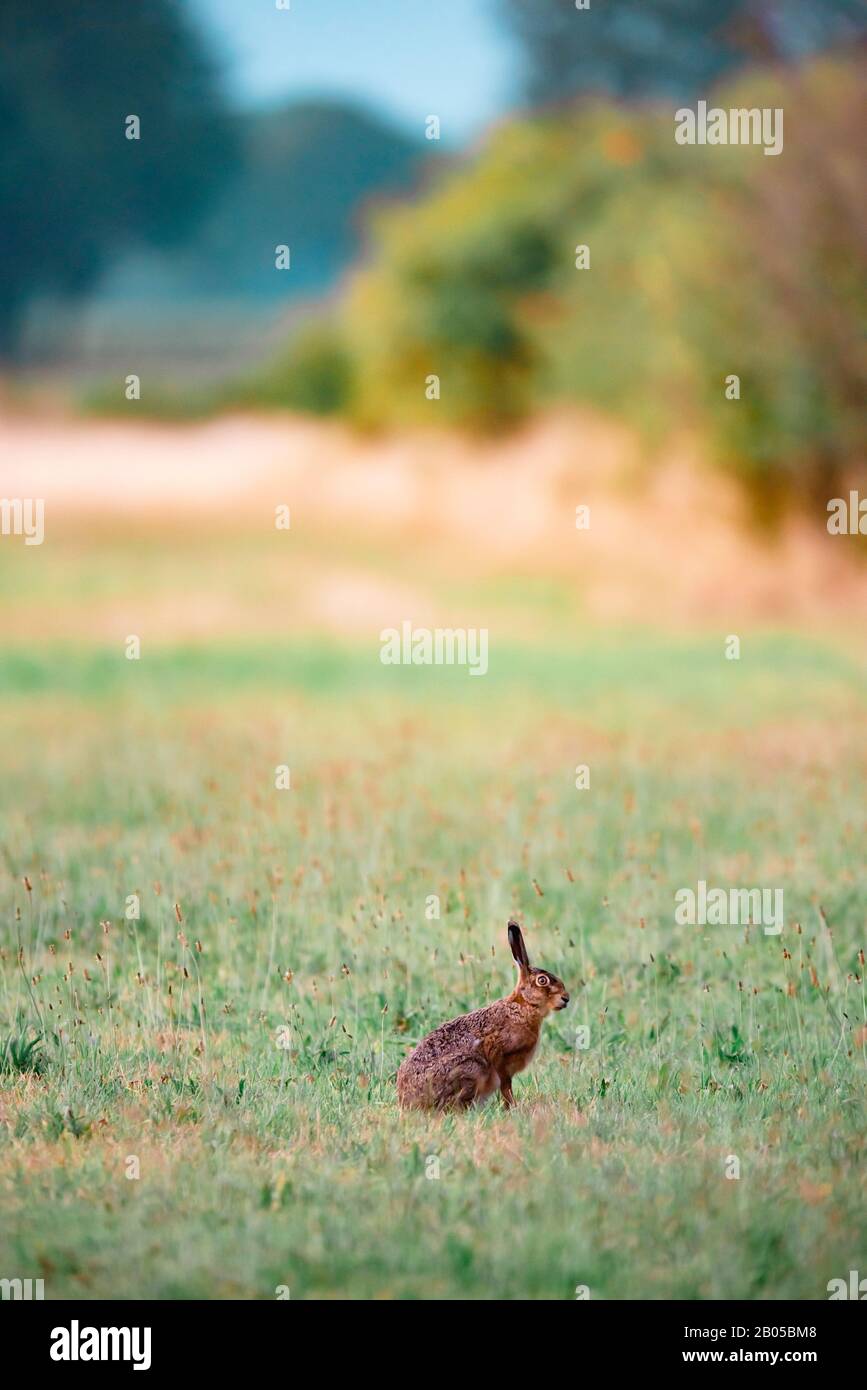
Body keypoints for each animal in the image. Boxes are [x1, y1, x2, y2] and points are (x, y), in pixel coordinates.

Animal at [397, 920, 569, 1110]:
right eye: (542, 980)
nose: (566, 998)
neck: (522, 1006)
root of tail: (407, 1100)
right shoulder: (500, 1057)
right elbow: (506, 1086)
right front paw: (512, 1107)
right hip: (472, 1067)